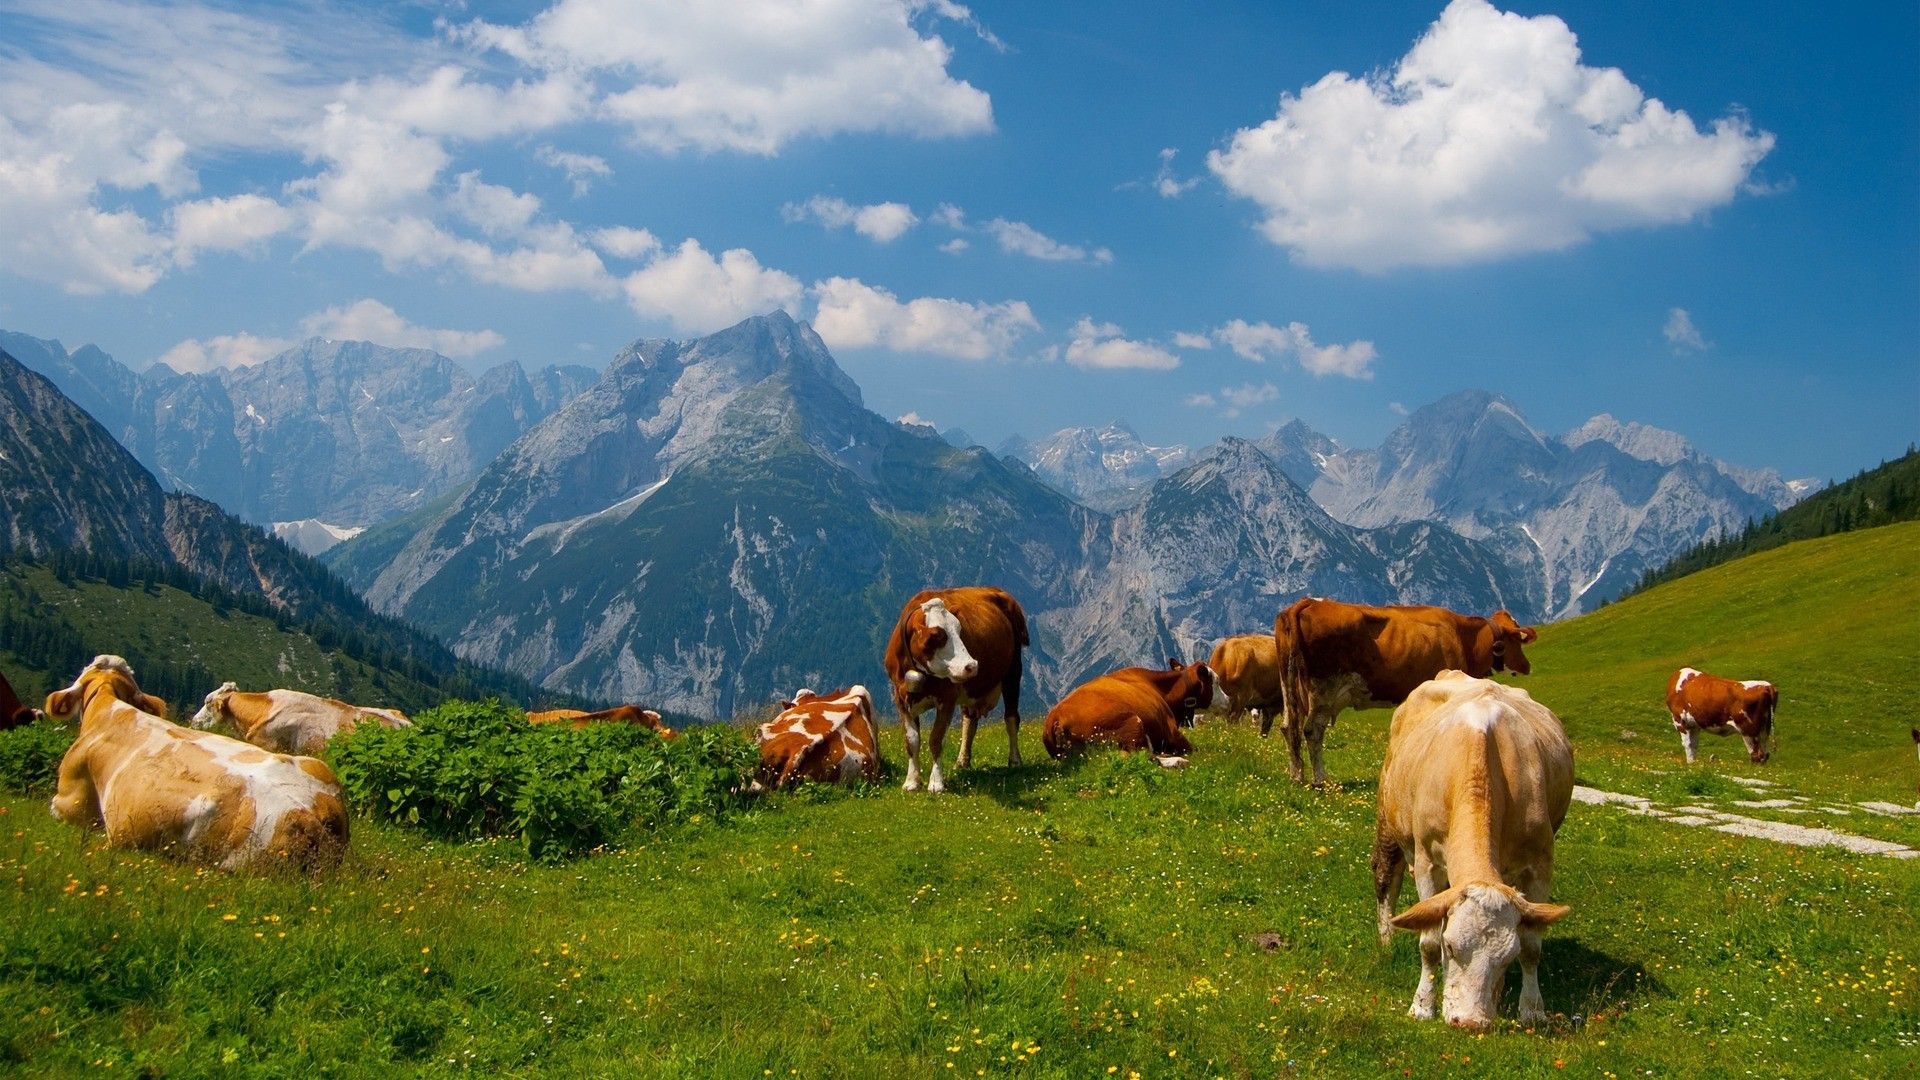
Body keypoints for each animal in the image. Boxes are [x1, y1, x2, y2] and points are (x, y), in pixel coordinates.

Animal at [884, 587, 1029, 793]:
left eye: (960, 630)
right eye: (936, 635)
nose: (971, 665)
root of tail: (997, 591)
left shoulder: (947, 697)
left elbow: (936, 739)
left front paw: (936, 783)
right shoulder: (900, 697)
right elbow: (911, 741)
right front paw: (911, 781)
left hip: (1013, 672)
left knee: (1011, 718)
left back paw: (1015, 760)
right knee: (969, 721)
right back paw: (962, 761)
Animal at [1042, 660, 1212, 767]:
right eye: (1214, 681)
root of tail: (1056, 716)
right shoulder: (1171, 730)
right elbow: (1191, 748)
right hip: (1130, 724)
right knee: (1142, 756)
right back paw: (1178, 761)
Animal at [1275, 598, 1538, 786]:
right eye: (1517, 638)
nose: (1527, 665)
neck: (1463, 637)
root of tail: (1307, 602)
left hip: (1289, 686)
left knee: (1288, 727)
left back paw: (1296, 776)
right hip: (1323, 689)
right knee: (1312, 730)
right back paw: (1320, 779)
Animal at [1373, 671, 1573, 1031]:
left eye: (1507, 956)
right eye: (1451, 946)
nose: (1470, 1022)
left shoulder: (1540, 863)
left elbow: (1533, 945)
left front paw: (1532, 1010)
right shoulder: (1427, 862)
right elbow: (1428, 941)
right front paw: (1422, 1005)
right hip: (1389, 817)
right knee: (1385, 878)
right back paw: (1386, 942)